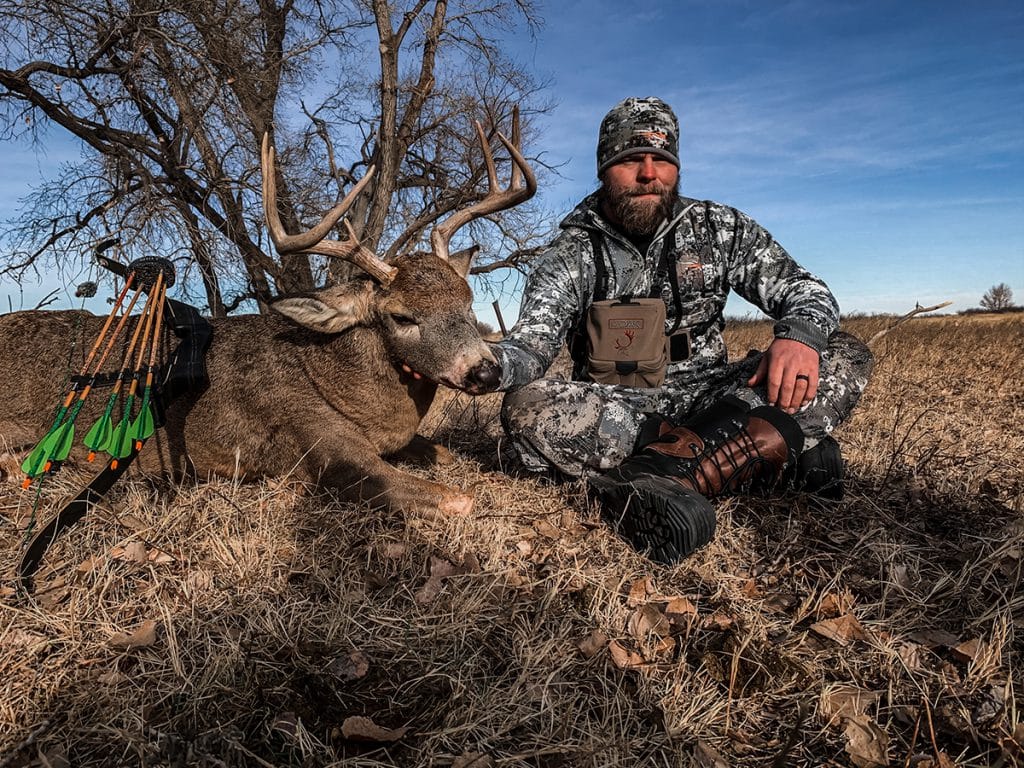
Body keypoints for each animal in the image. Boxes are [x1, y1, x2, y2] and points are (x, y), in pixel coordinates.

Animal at [0, 114, 536, 518]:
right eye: (402, 317)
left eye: (467, 301)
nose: (485, 370)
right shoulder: (323, 448)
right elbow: (459, 500)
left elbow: (446, 453)